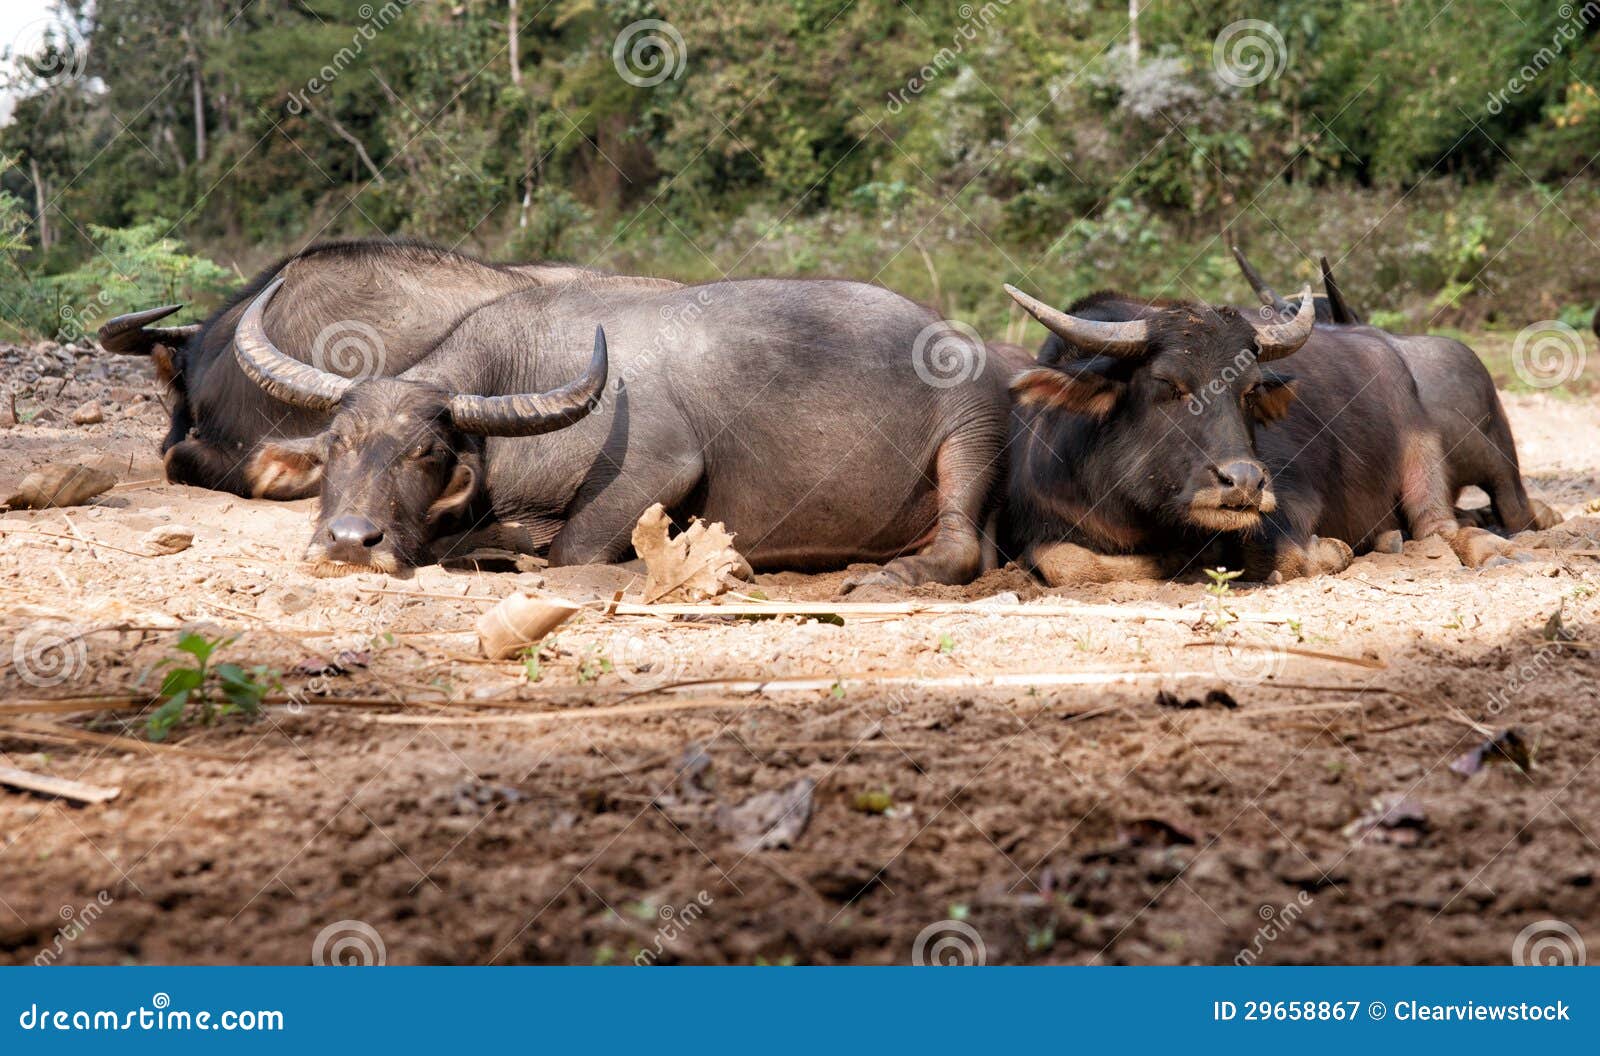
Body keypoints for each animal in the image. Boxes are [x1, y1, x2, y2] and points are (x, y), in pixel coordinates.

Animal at [226, 271, 1008, 586]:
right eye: (336, 445)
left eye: (426, 451)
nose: (350, 541)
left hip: (972, 431)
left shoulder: (660, 467)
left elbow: (573, 550)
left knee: (963, 543)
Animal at [1002, 284, 1504, 587]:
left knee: (1439, 529)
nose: (1243, 482)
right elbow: (1065, 562)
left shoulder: (1293, 498)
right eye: (1168, 384)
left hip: (1422, 456)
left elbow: (1291, 557)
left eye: (1250, 390)